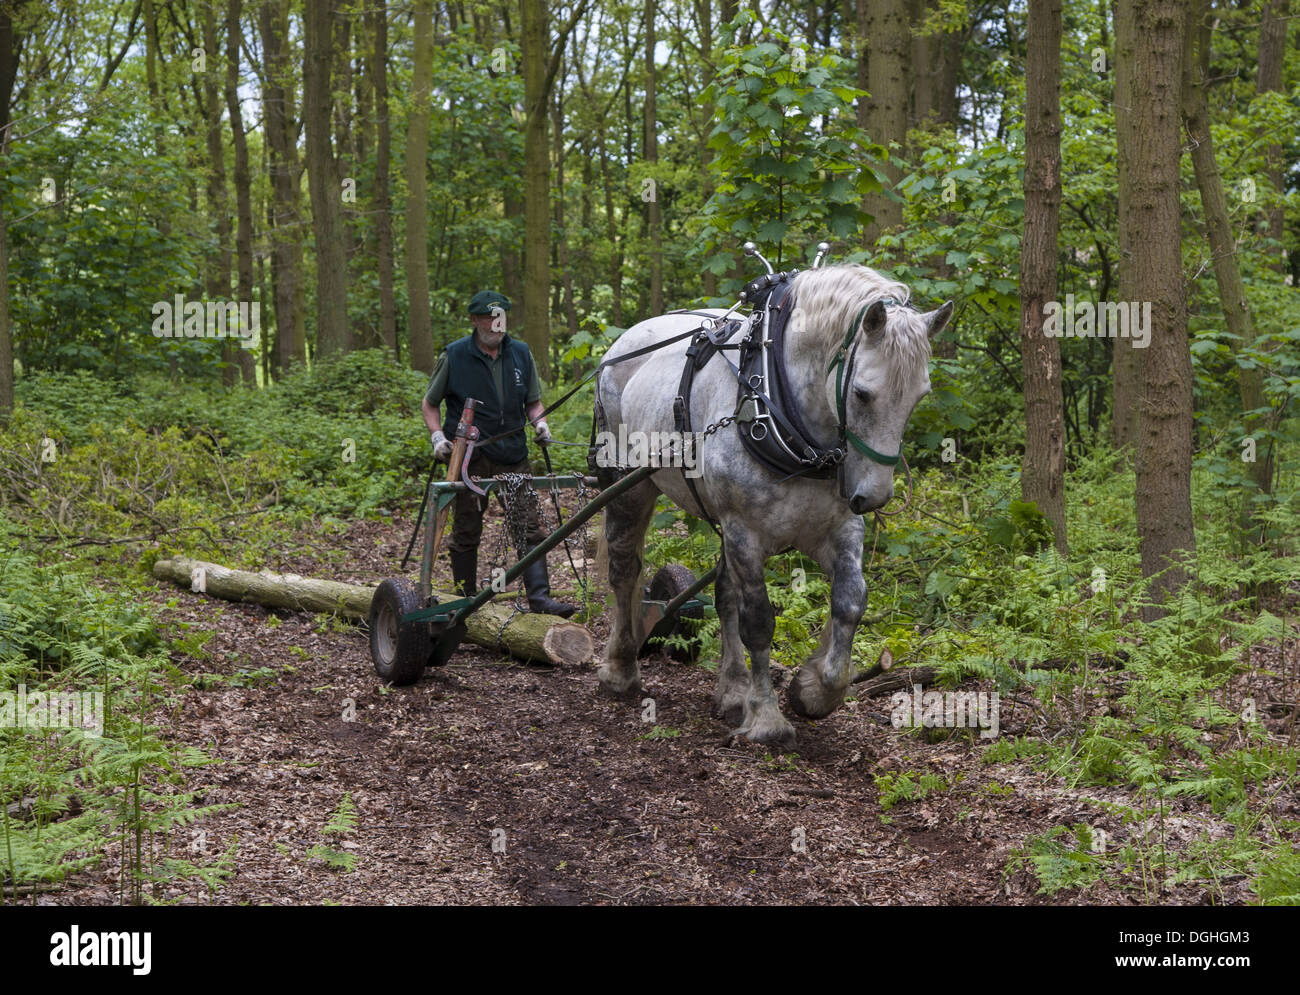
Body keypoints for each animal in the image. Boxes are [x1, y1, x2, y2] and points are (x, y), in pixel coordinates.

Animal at [592, 262, 953, 749]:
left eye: (920, 396)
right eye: (862, 393)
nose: (874, 496)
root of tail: (623, 342)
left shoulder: (839, 528)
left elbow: (850, 601)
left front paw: (815, 688)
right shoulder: (746, 531)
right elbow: (760, 622)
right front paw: (766, 718)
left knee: (724, 594)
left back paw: (732, 690)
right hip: (631, 486)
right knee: (625, 571)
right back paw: (621, 667)